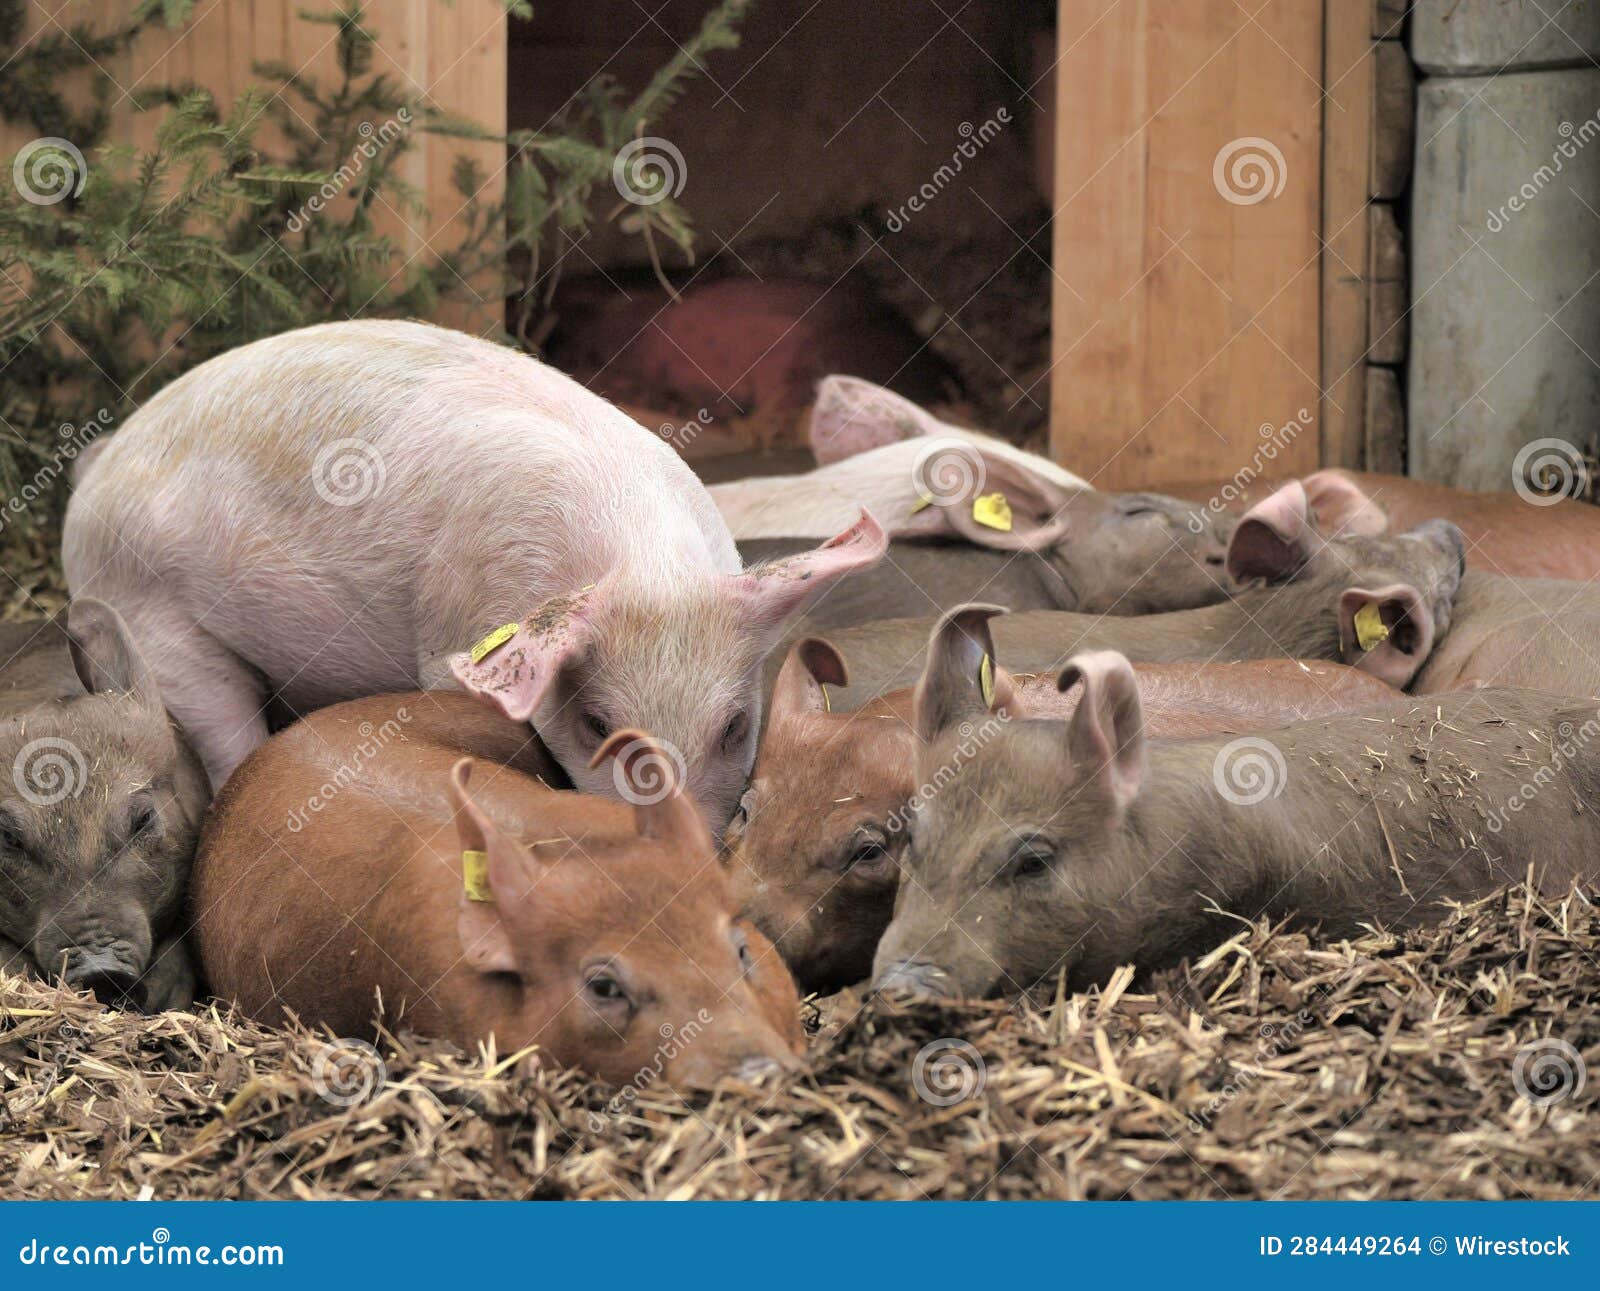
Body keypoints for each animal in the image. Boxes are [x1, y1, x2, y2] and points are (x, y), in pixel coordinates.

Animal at [63, 320, 886, 831]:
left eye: (737, 725)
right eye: (598, 726)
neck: (639, 559)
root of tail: (95, 474)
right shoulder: (453, 630)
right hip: (152, 616)